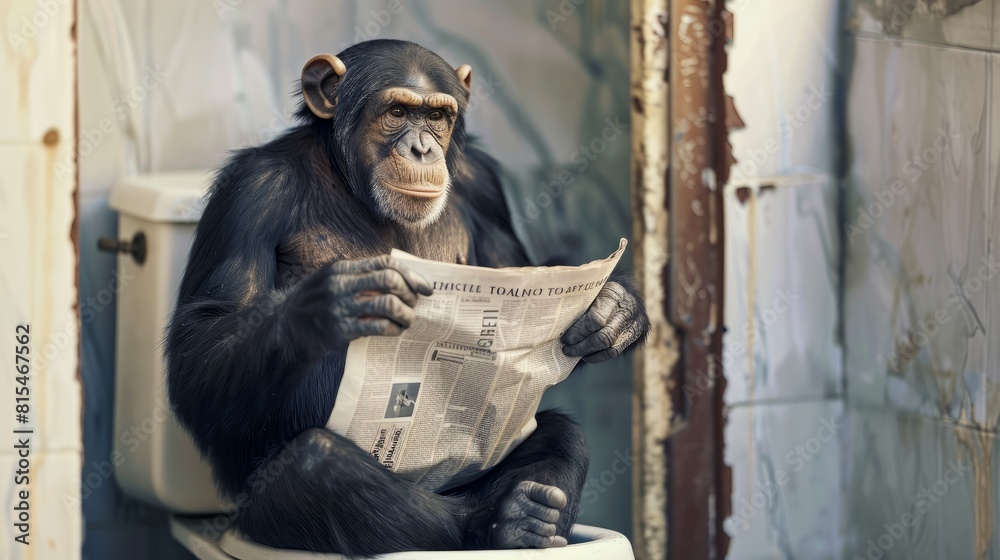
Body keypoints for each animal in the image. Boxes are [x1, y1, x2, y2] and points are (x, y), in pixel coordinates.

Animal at [165, 39, 649, 558]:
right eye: (396, 111)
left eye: (437, 116)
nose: (422, 148)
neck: (351, 181)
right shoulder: (250, 193)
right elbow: (203, 341)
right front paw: (330, 304)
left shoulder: (484, 187)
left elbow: (518, 277)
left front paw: (615, 312)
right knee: (314, 464)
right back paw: (498, 520)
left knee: (563, 436)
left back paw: (530, 515)